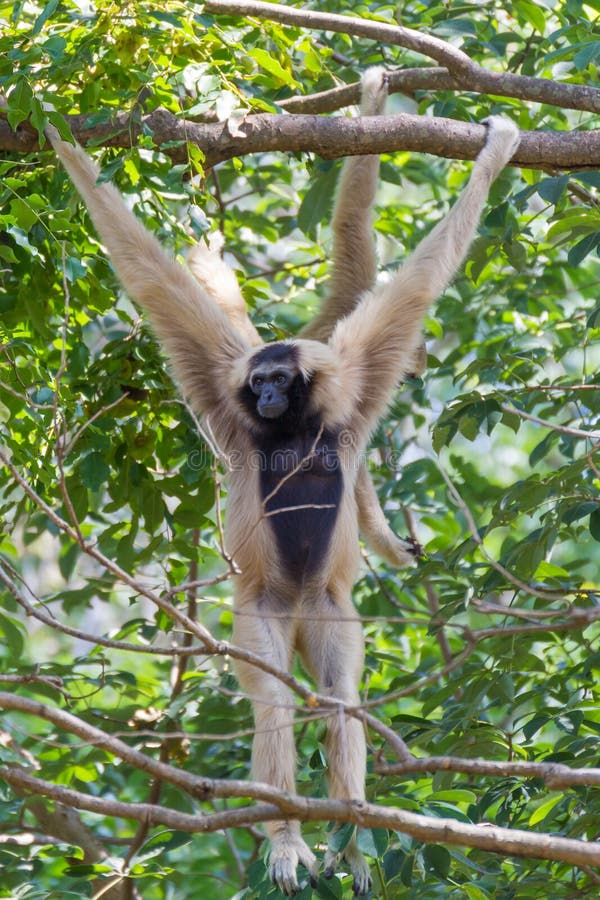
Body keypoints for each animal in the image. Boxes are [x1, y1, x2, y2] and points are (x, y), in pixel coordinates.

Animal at [46, 70, 519, 894]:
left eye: (278, 381)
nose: (264, 395)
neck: (292, 430)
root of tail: (297, 606)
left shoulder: (354, 387)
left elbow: (417, 282)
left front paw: (489, 152)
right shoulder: (221, 382)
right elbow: (147, 269)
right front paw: (61, 135)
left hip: (329, 610)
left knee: (338, 700)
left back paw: (352, 840)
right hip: (262, 607)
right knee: (274, 701)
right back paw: (291, 837)